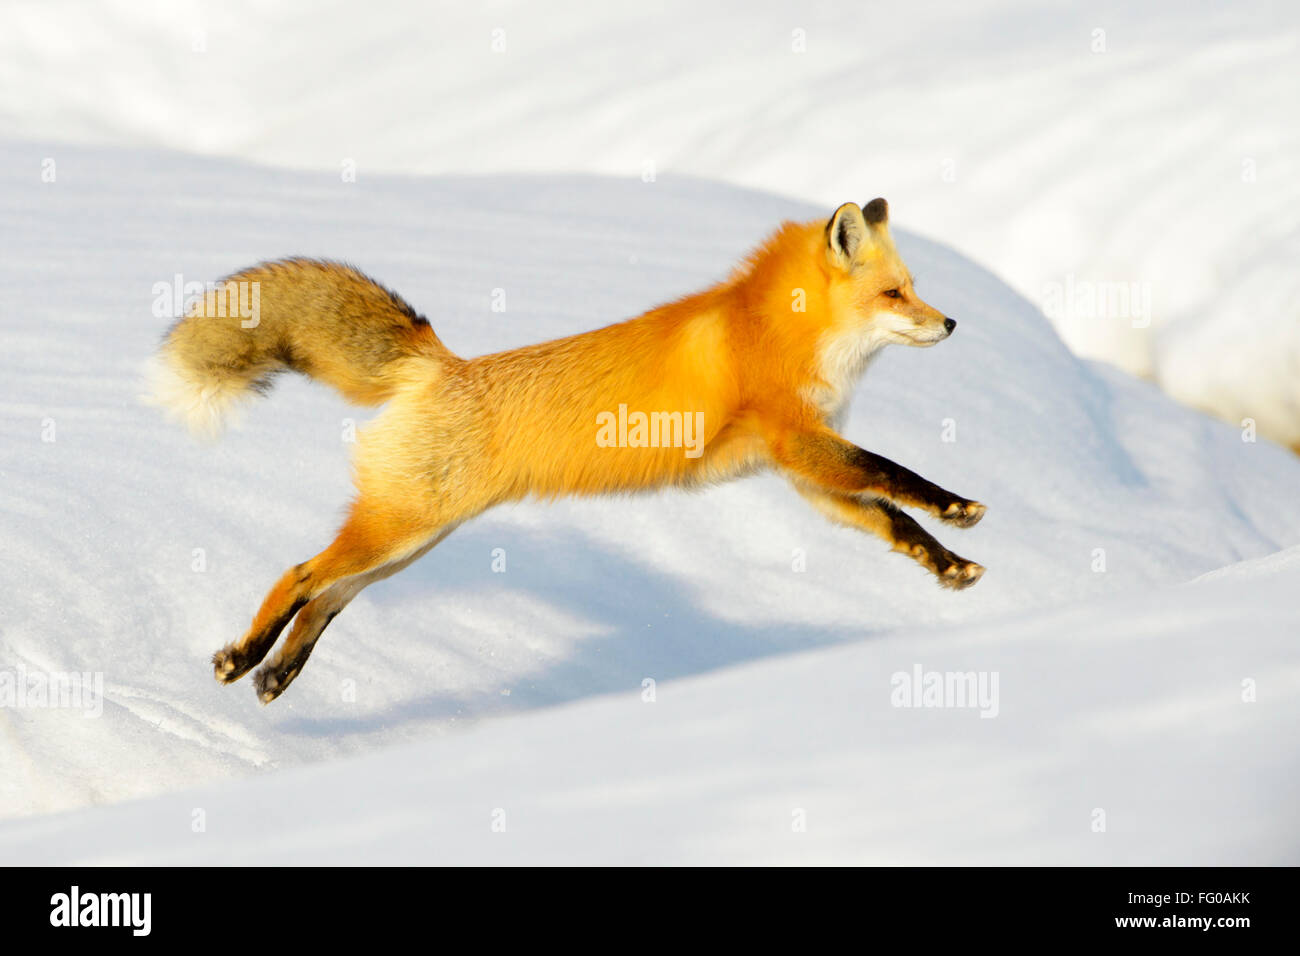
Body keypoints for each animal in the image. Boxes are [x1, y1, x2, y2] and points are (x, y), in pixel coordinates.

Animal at [148, 198, 986, 705]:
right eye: (895, 294)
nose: (951, 324)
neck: (779, 333)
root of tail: (441, 364)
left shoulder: (803, 474)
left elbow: (891, 520)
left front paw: (947, 564)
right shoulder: (801, 441)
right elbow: (895, 473)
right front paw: (958, 506)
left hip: (410, 541)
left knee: (325, 597)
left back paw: (274, 671)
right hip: (398, 529)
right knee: (299, 576)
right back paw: (243, 656)